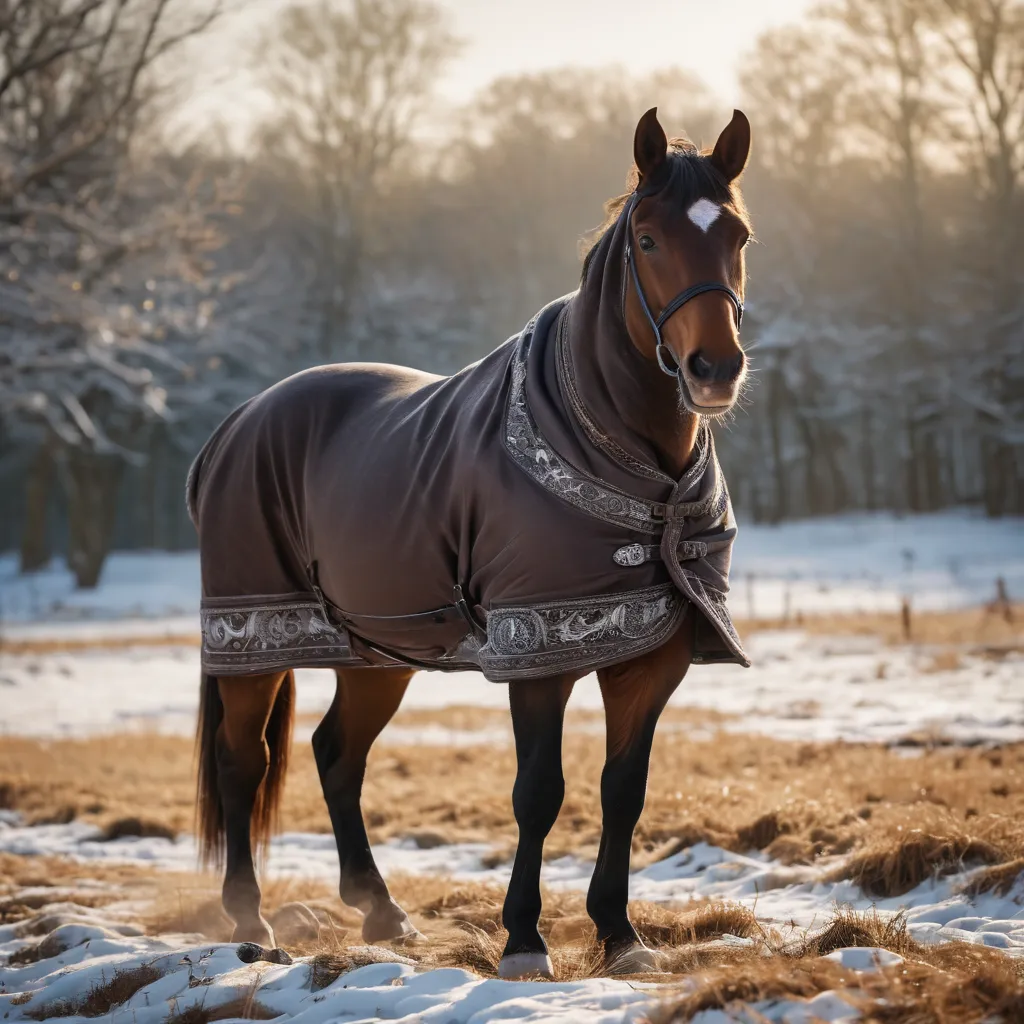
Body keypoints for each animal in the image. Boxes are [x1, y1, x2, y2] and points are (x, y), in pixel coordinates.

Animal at [188, 107, 753, 979]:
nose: (714, 368)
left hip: (375, 655)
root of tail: (239, 421)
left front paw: (621, 936)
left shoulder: (650, 661)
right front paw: (524, 942)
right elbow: (539, 793)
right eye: (650, 238)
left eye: (738, 235)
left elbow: (623, 792)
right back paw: (250, 920)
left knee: (336, 754)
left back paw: (381, 912)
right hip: (254, 640)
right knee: (242, 763)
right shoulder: (537, 655)